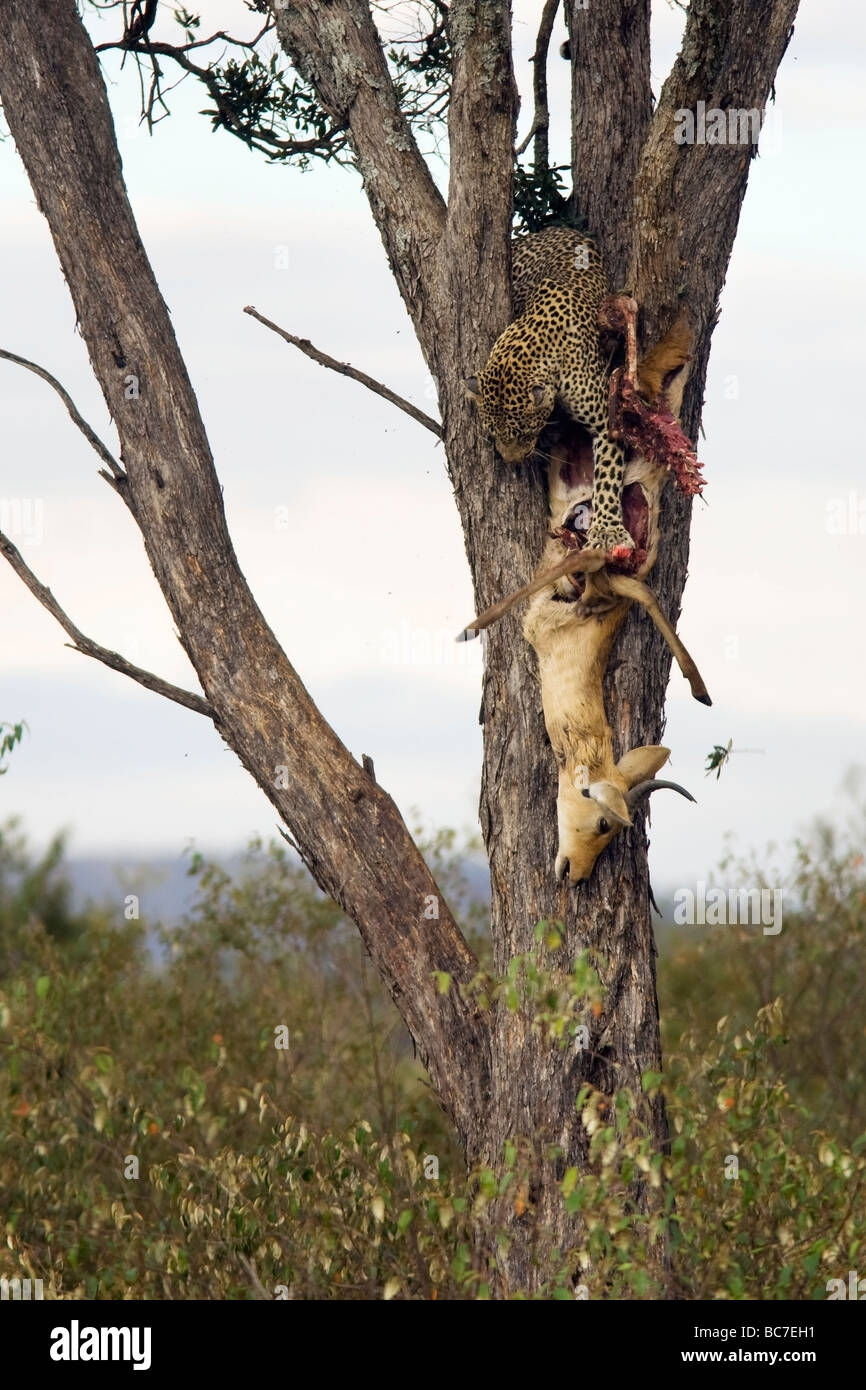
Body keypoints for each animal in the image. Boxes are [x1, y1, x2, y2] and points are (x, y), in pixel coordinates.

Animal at [465, 225, 634, 556]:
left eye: (523, 433)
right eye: (492, 434)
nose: (512, 461)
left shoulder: (606, 419)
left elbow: (608, 476)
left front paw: (607, 530)